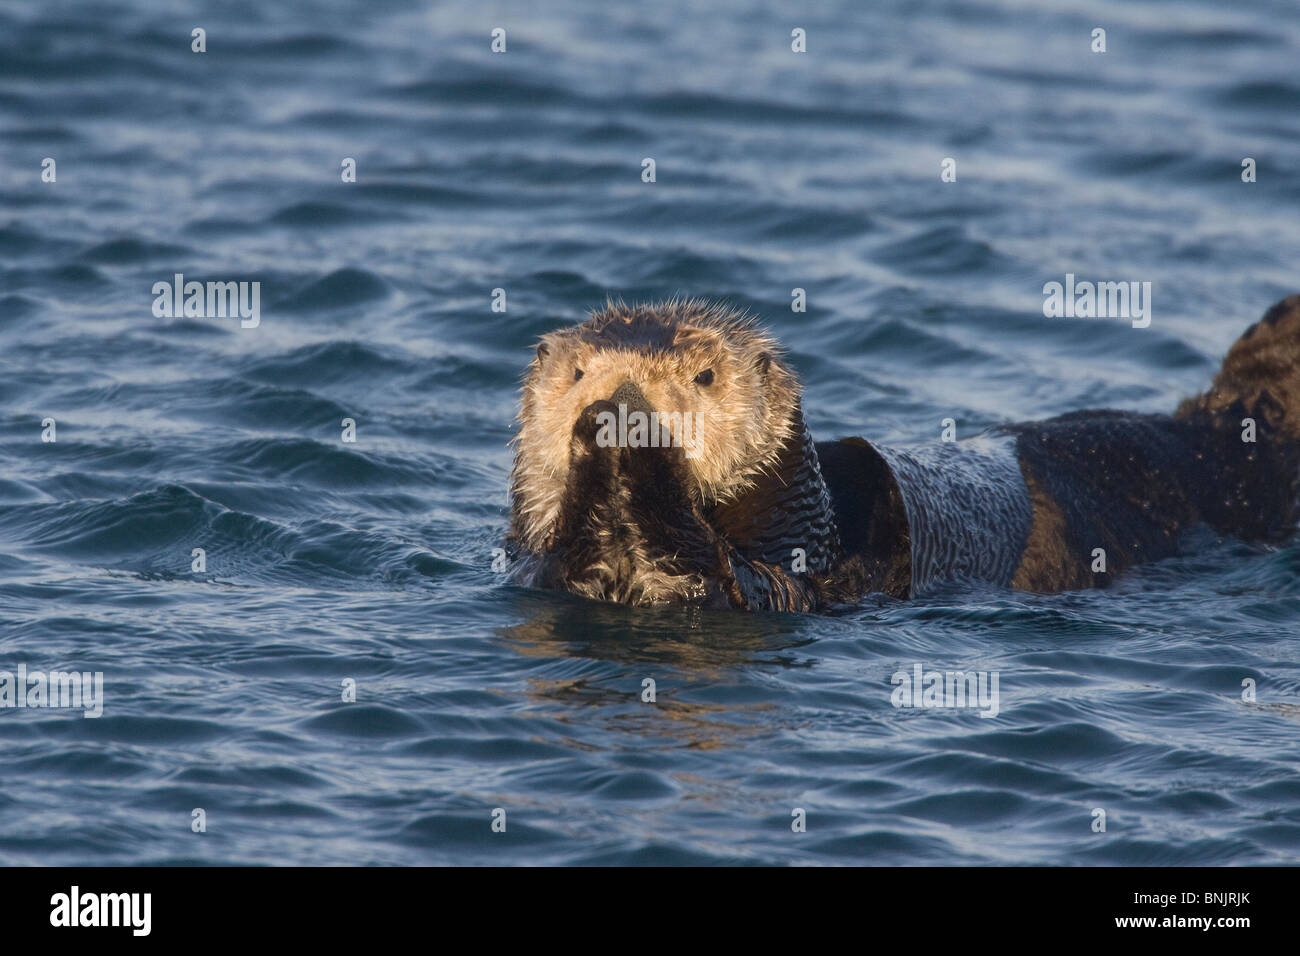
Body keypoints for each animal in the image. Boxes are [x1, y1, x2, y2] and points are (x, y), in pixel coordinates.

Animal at [505, 297, 1300, 612]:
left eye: (703, 376)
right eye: (578, 371)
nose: (619, 397)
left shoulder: (812, 578)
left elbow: (731, 581)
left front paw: (627, 445)